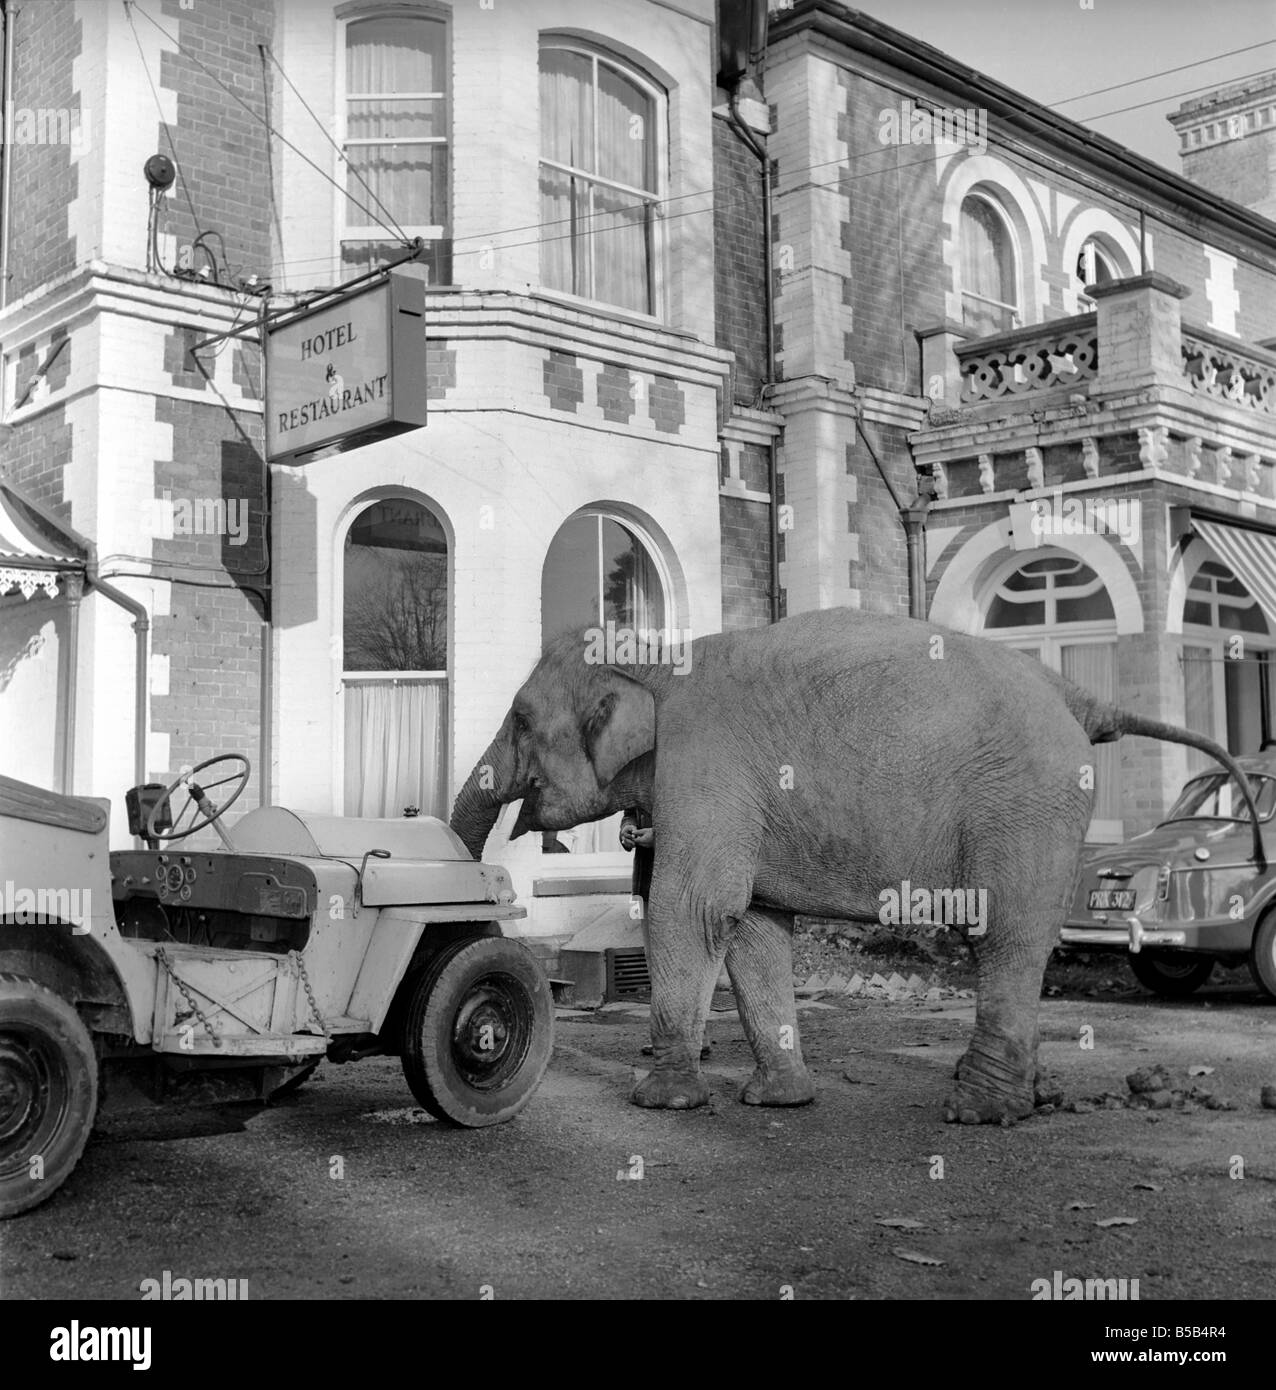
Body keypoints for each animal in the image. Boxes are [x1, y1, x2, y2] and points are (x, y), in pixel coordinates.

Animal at [450, 607, 1263, 1123]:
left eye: (521, 721)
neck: (660, 655)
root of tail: (1079, 696)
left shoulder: (707, 772)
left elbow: (696, 910)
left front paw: (664, 1101)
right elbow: (753, 927)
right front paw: (778, 1102)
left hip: (1025, 801)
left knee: (1003, 934)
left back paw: (977, 1111)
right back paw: (1028, 1099)